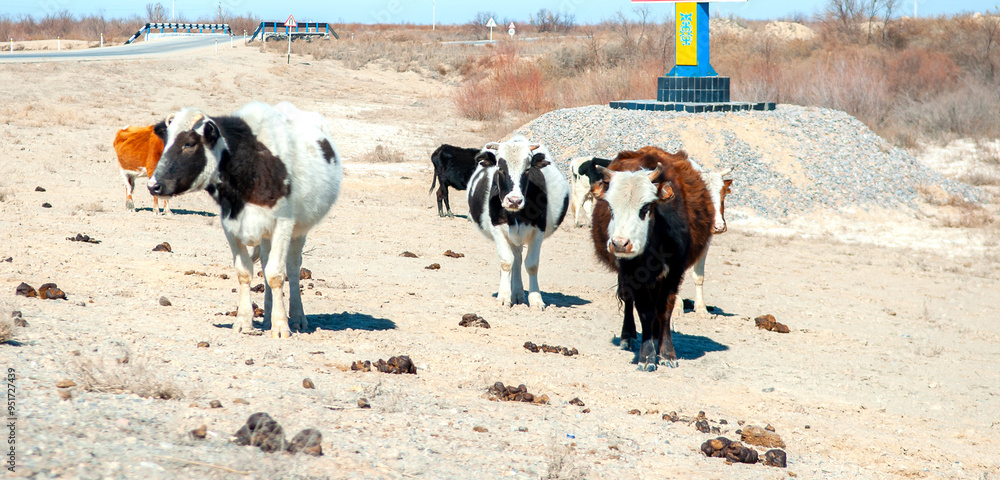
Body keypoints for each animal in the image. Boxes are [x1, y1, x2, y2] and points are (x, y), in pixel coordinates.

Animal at [147, 101, 342, 338]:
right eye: (165, 142)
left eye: (190, 144)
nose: (154, 185)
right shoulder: (230, 224)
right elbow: (244, 272)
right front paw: (244, 321)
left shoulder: (284, 222)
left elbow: (277, 274)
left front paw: (280, 325)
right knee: (266, 262)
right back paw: (267, 318)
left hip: (300, 230)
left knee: (294, 267)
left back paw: (296, 318)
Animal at [467, 136, 570, 310]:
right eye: (500, 168)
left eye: (527, 169)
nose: (514, 200)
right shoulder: (497, 228)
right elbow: (506, 261)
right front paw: (503, 297)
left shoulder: (539, 230)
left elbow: (532, 264)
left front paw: (536, 299)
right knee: (514, 259)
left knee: (518, 259)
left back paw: (518, 295)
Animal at [591, 146, 714, 370]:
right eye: (610, 207)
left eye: (645, 207)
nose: (620, 243)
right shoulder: (633, 273)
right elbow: (644, 311)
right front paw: (647, 357)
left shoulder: (674, 273)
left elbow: (664, 310)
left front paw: (667, 354)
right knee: (628, 299)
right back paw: (628, 336)